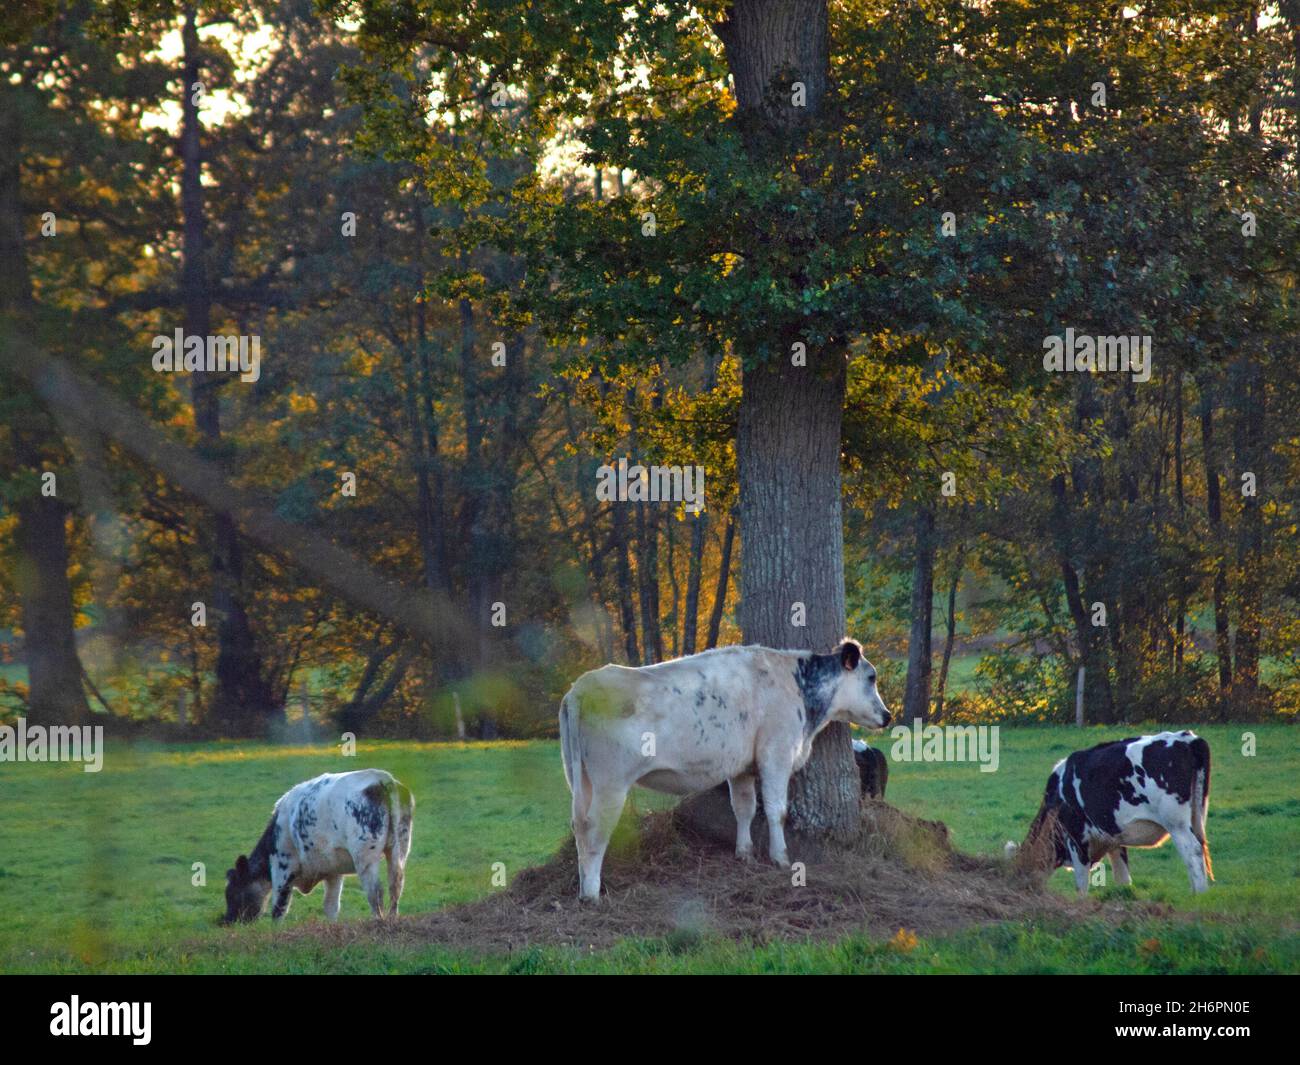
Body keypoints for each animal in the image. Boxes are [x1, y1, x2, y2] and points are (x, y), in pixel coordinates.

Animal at [222, 769, 414, 924]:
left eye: (231, 893)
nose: (227, 920)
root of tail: (382, 778)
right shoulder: (334, 871)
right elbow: (331, 907)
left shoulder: (282, 866)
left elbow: (279, 909)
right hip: (400, 848)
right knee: (395, 885)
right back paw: (392, 919)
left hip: (365, 856)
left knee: (375, 892)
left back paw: (379, 921)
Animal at [559, 639, 891, 902]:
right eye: (871, 676)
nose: (887, 715)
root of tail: (581, 687)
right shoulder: (776, 754)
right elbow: (776, 810)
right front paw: (780, 857)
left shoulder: (741, 766)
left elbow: (744, 807)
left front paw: (744, 852)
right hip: (611, 783)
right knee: (595, 828)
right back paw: (592, 892)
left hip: (580, 779)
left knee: (578, 825)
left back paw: (582, 885)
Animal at [1005, 731, 1212, 895]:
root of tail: (1186, 738)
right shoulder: (1113, 839)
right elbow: (1123, 880)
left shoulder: (1077, 837)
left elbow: (1081, 885)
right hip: (1196, 816)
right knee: (1199, 848)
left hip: (1176, 823)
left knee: (1192, 851)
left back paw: (1198, 895)